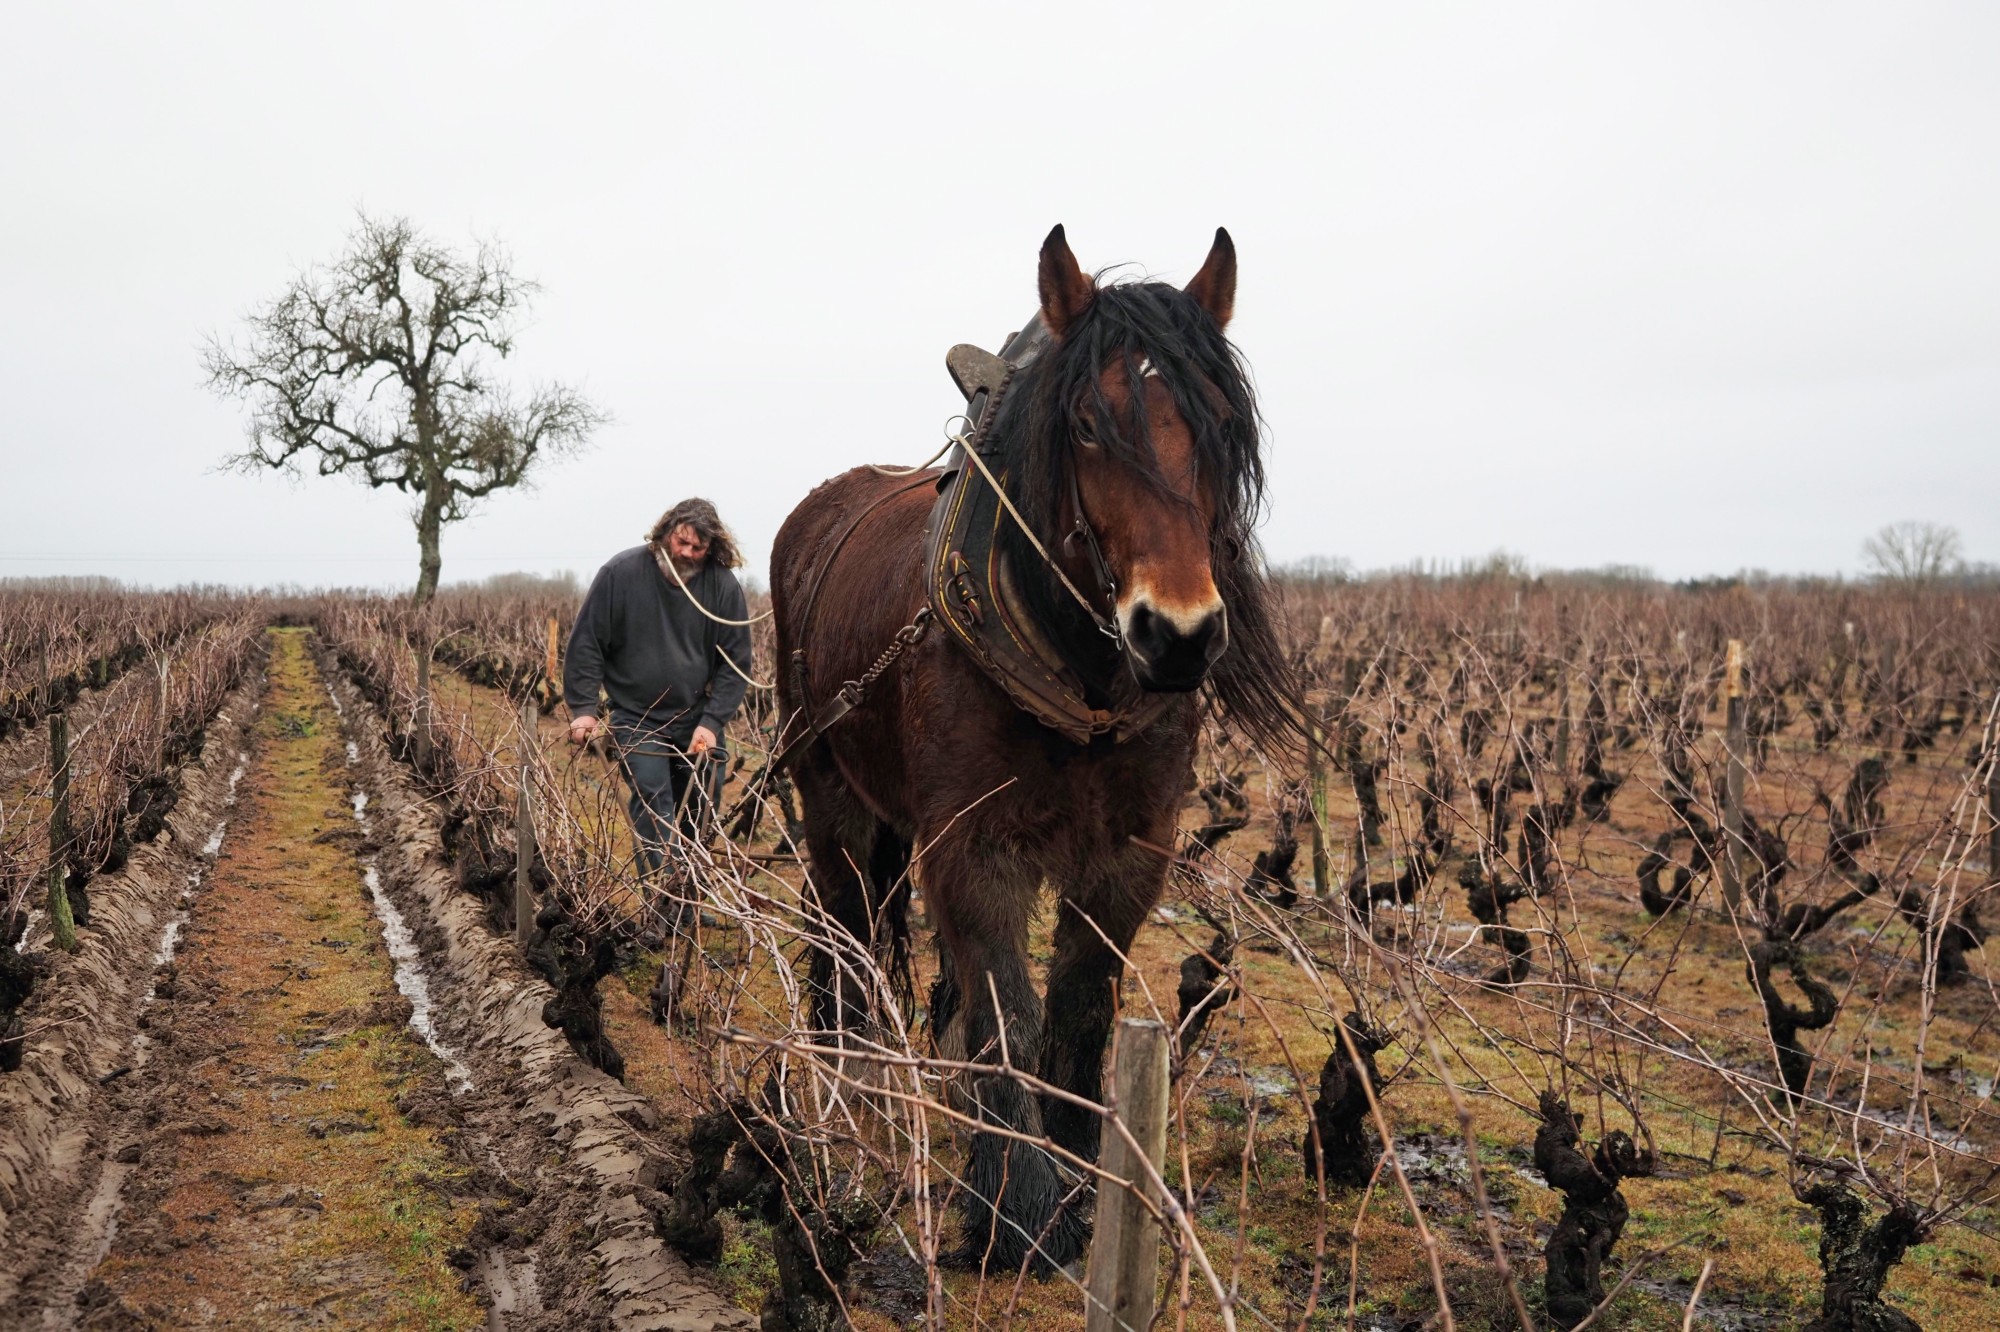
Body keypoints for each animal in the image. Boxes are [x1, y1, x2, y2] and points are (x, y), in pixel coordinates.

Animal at [770, 226, 1296, 1271]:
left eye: (1222, 423)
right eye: (1088, 425)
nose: (1178, 637)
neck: (1079, 680)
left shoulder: (1130, 855)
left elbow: (1079, 1012)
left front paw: (1087, 1187)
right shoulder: (973, 850)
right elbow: (1008, 1015)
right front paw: (1014, 1210)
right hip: (824, 784)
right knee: (846, 922)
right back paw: (857, 1067)